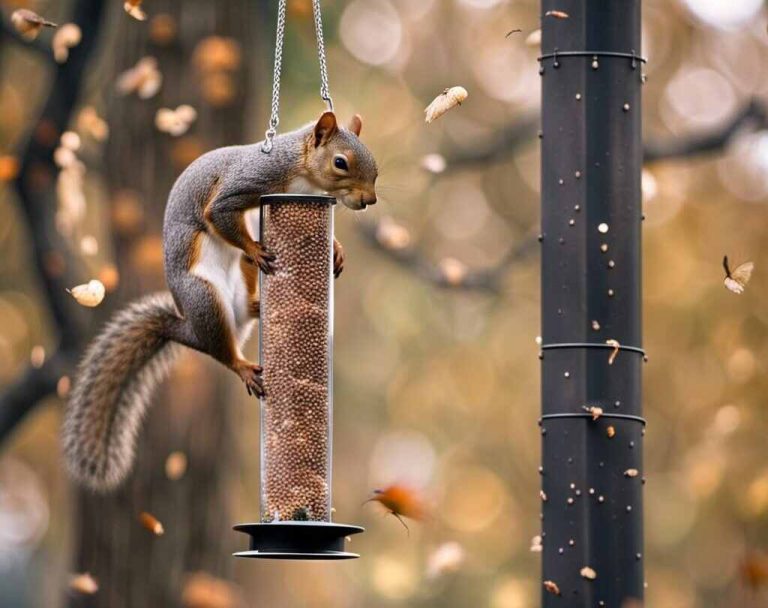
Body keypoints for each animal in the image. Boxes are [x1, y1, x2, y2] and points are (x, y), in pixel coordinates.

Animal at [62, 111, 378, 492]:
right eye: (340, 162)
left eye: (375, 169)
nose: (370, 200)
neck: (303, 175)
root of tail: (188, 331)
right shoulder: (248, 182)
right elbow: (219, 213)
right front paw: (257, 249)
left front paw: (336, 248)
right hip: (205, 300)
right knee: (222, 353)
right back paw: (243, 364)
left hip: (238, 287)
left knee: (242, 312)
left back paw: (258, 307)